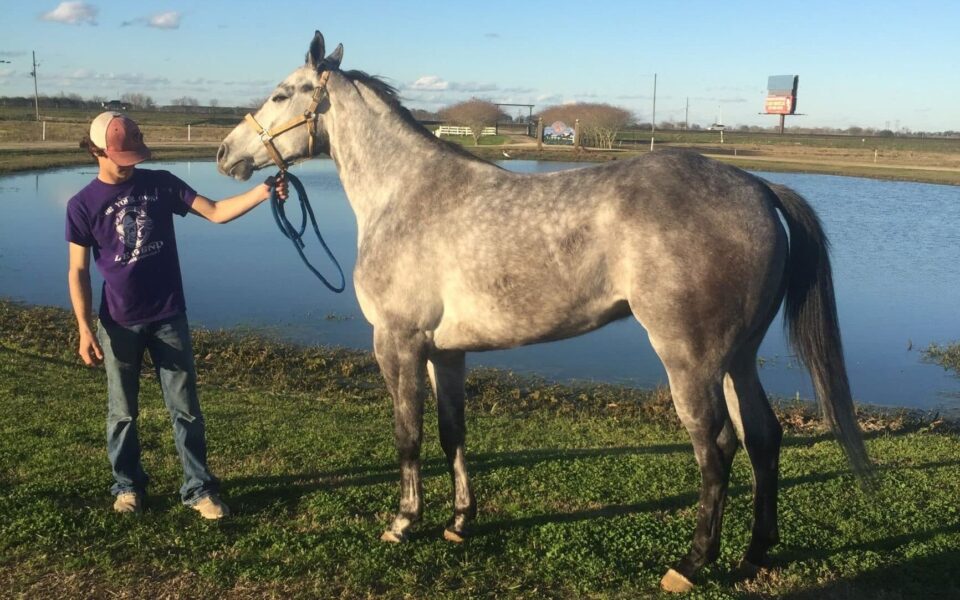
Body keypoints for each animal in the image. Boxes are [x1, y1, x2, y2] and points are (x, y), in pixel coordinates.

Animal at [216, 31, 871, 592]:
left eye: (282, 92)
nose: (226, 152)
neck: (406, 195)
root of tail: (759, 187)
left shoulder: (396, 342)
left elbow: (408, 435)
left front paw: (403, 523)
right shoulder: (446, 352)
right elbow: (453, 433)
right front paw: (459, 522)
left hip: (692, 361)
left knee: (717, 447)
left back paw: (691, 564)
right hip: (739, 357)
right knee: (763, 438)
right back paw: (754, 554)